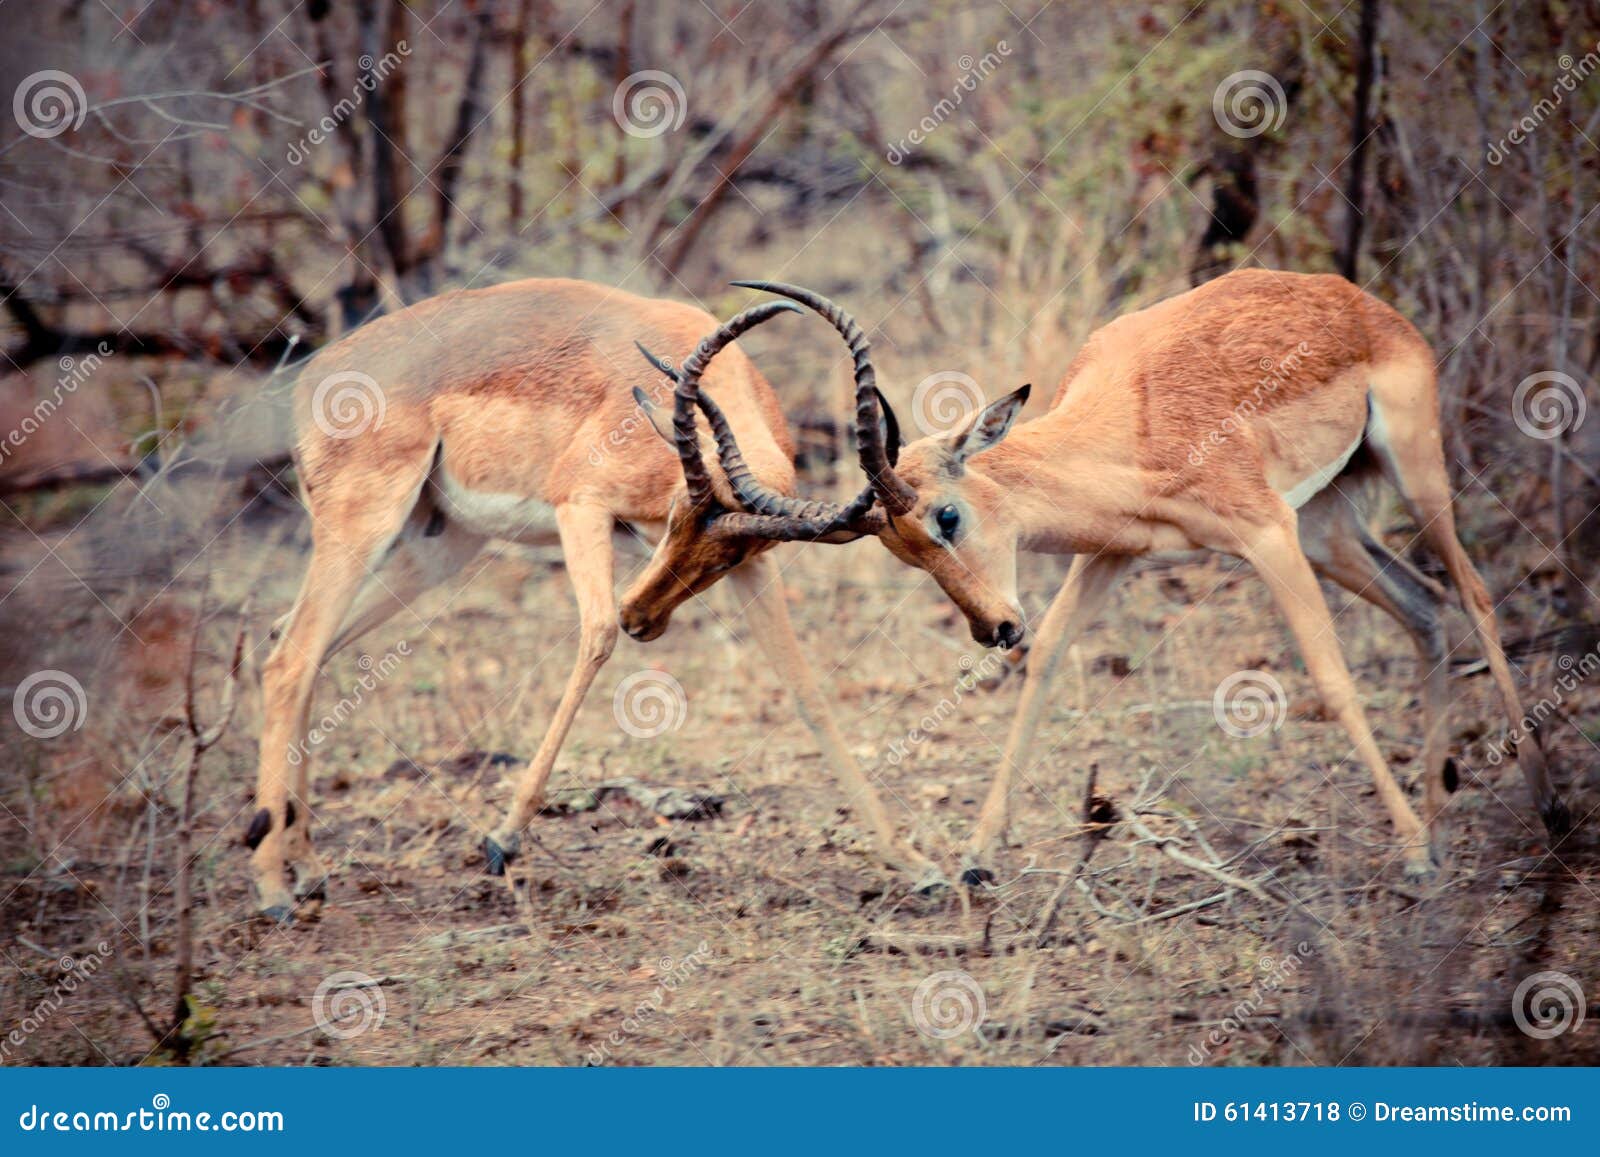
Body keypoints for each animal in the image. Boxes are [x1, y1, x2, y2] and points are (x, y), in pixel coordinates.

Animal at [248, 278, 928, 921]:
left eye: (725, 556)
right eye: (677, 511)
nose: (642, 617)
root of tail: (315, 376)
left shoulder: (754, 567)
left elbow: (806, 690)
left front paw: (918, 865)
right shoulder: (581, 506)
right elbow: (596, 636)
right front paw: (502, 841)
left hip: (437, 547)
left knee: (299, 645)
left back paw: (307, 869)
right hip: (365, 527)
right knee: (289, 659)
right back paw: (273, 889)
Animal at [639, 270, 1571, 882]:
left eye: (948, 517)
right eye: (900, 550)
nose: (993, 628)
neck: (1136, 419)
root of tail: (1361, 304)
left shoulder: (1262, 533)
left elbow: (1333, 679)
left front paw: (1410, 854)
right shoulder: (1116, 550)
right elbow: (1049, 661)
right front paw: (976, 855)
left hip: (1407, 472)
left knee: (1475, 596)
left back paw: (1536, 814)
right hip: (1330, 525)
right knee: (1427, 609)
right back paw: (1444, 820)